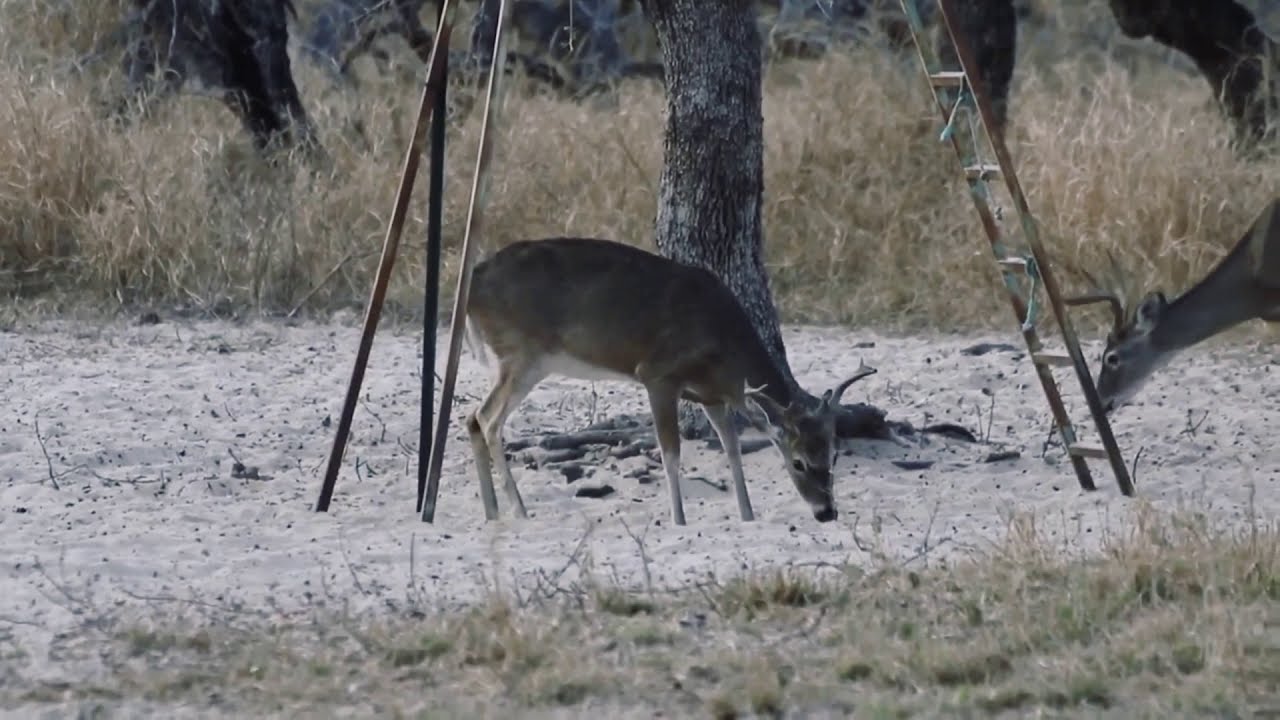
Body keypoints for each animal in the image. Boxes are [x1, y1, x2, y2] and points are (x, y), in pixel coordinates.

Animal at [462, 237, 876, 526]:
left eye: (833, 454)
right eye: (798, 462)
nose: (826, 512)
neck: (720, 338)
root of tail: (472, 284)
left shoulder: (715, 394)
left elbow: (732, 449)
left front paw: (748, 515)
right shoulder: (658, 375)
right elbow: (671, 452)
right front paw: (679, 520)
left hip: (520, 361)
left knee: (472, 417)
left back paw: (492, 511)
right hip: (522, 355)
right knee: (488, 418)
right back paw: (519, 510)